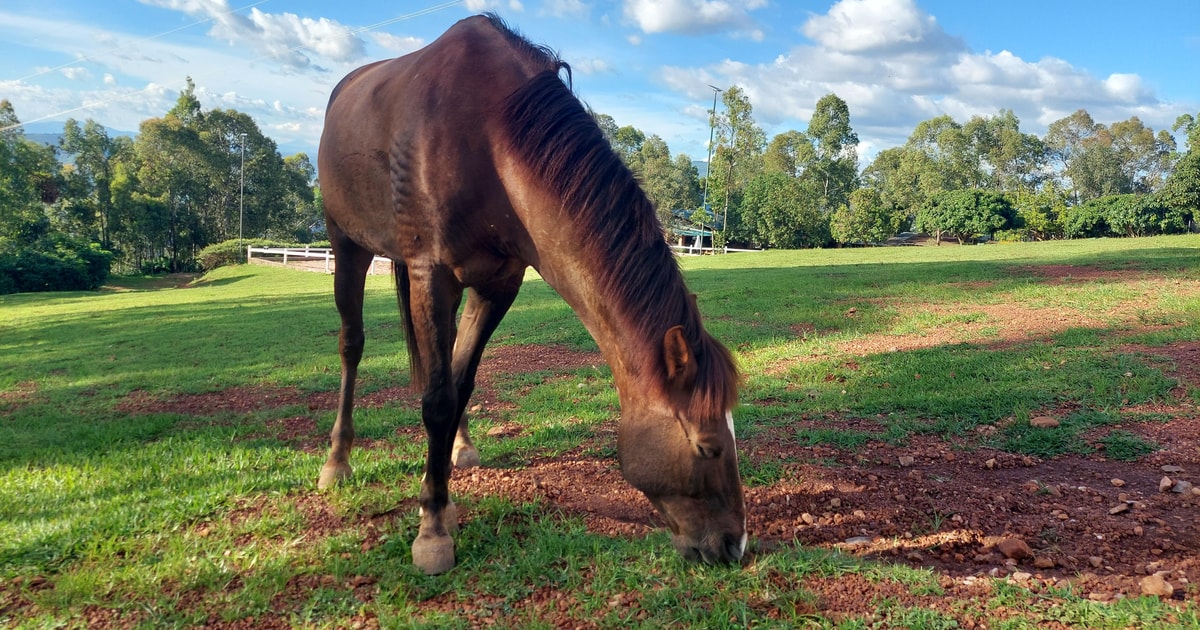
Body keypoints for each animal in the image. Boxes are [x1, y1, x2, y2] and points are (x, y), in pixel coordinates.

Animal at [317, 13, 745, 575]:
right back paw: (337, 460)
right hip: (347, 246)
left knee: (447, 361)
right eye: (709, 447)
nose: (735, 544)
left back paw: (458, 448)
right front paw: (432, 529)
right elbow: (436, 400)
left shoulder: (499, 285)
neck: (489, 137)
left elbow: (458, 386)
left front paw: (444, 493)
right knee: (352, 344)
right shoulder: (430, 274)